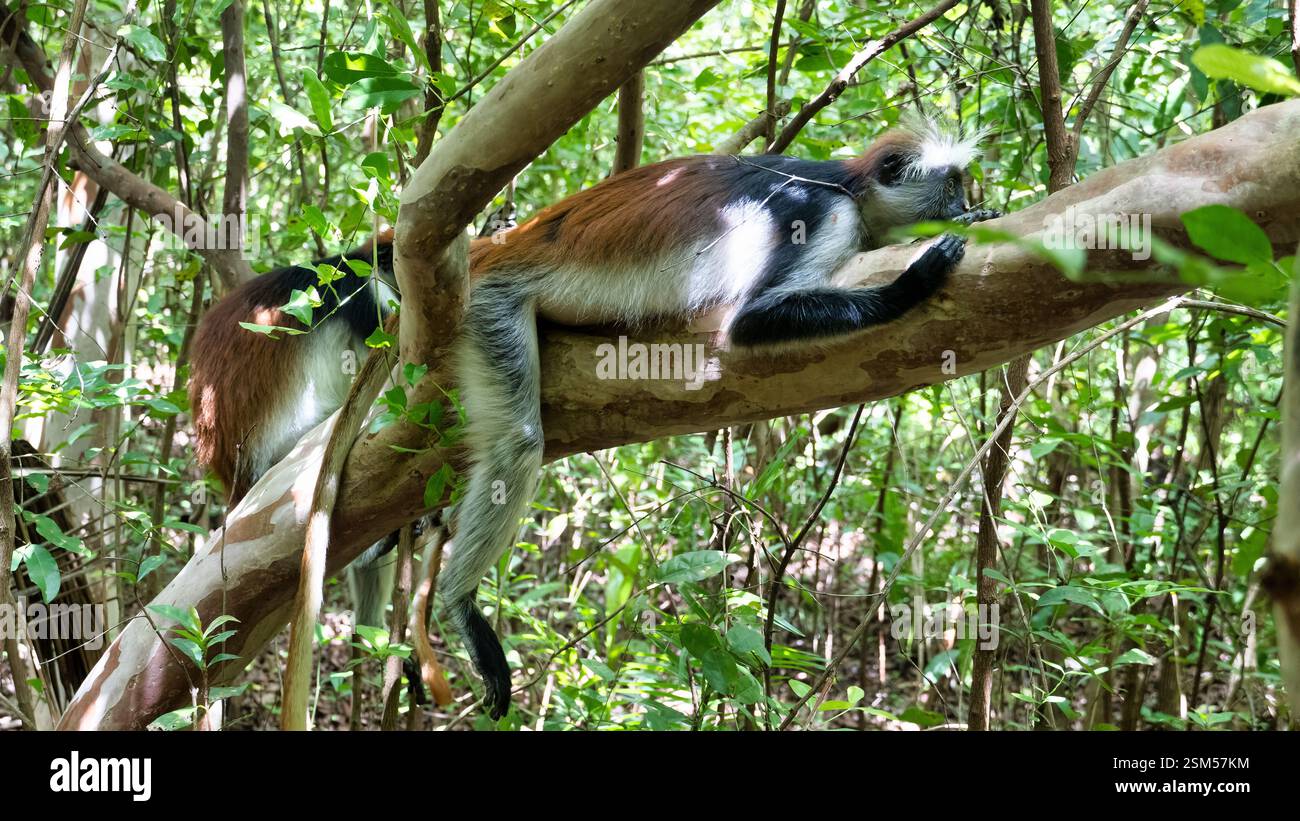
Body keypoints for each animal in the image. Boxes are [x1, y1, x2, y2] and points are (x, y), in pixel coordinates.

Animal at [446, 117, 998, 719]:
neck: (849, 185)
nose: (964, 203)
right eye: (951, 186)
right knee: (519, 441)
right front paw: (915, 282)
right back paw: (459, 602)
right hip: (493, 303)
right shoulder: (826, 215)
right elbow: (750, 321)